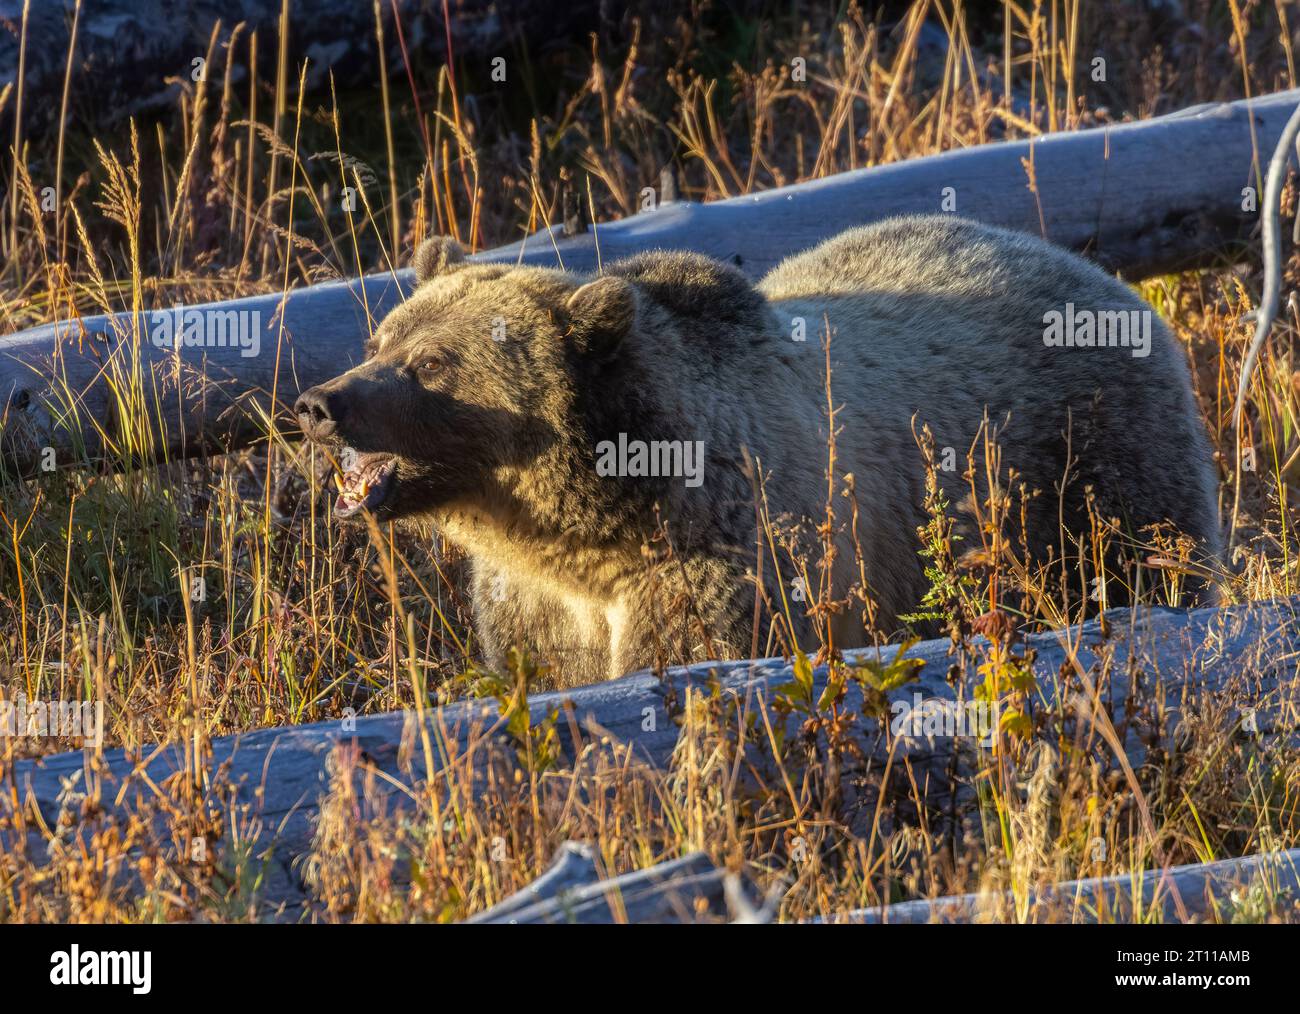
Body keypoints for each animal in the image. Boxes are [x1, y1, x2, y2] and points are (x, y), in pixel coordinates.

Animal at [295, 215, 1221, 686]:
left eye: (431, 363)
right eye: (382, 337)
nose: (320, 404)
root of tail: (1100, 278)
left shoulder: (723, 561)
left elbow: (691, 657)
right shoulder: (536, 607)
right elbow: (552, 673)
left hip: (1085, 468)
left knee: (1143, 562)